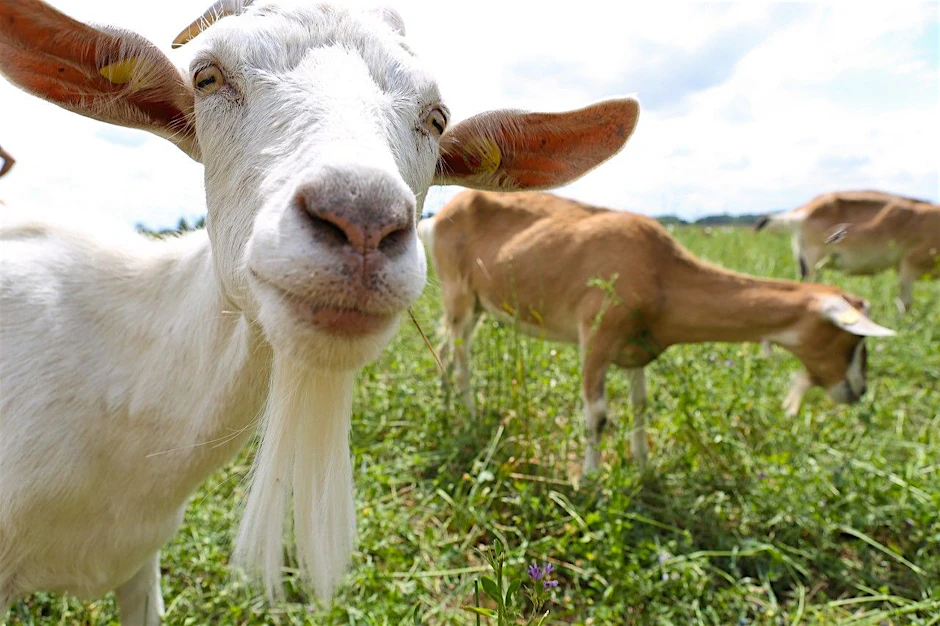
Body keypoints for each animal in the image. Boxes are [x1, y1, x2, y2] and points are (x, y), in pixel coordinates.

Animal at [419, 191, 896, 475]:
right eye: (853, 338)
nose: (858, 390)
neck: (661, 271)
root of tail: (437, 218)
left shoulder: (636, 348)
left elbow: (641, 404)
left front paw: (644, 466)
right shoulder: (596, 336)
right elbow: (597, 415)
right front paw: (590, 483)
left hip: (475, 305)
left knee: (444, 345)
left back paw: (445, 403)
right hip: (458, 293)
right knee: (460, 356)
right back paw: (469, 414)